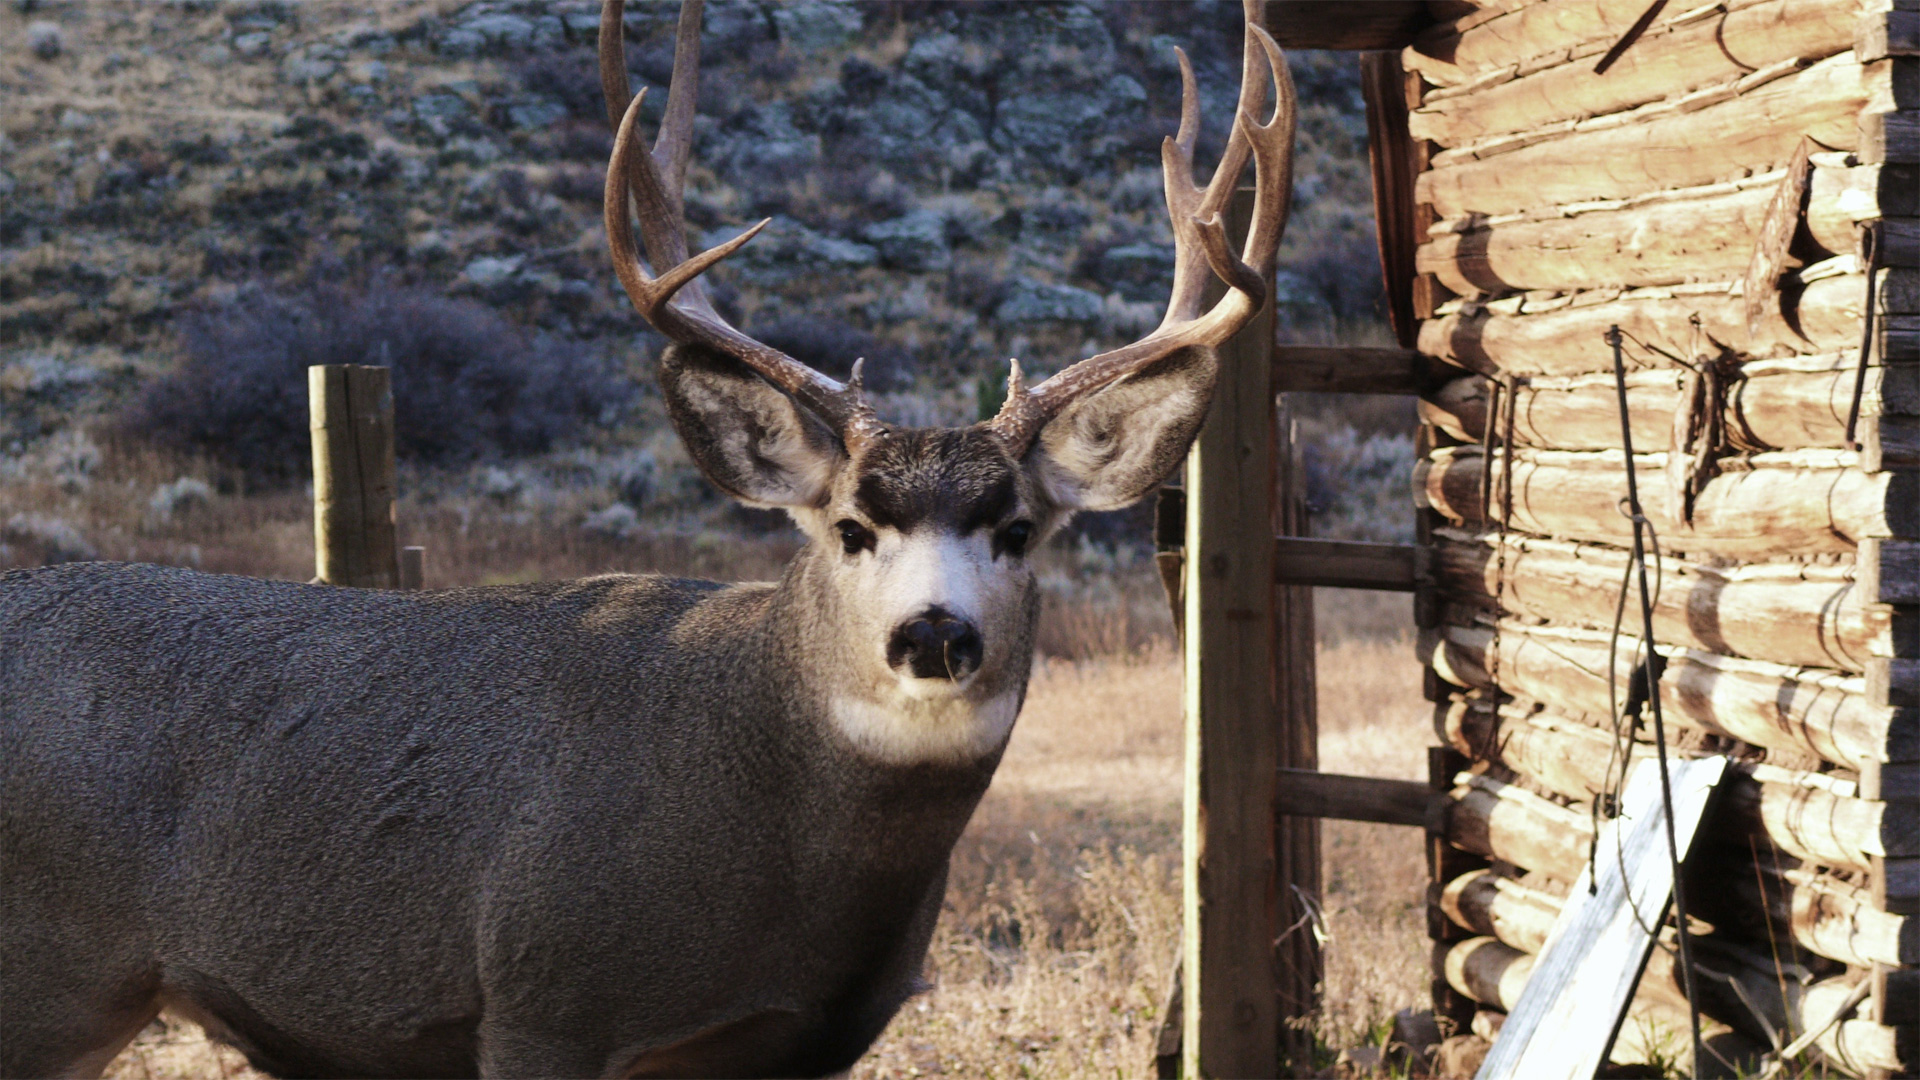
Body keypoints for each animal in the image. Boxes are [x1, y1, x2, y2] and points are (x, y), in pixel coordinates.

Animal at [0, 2, 1293, 1076]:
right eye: (851, 525)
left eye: (1018, 528)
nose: (934, 636)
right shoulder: (538, 996)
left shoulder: (801, 1042)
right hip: (46, 981)